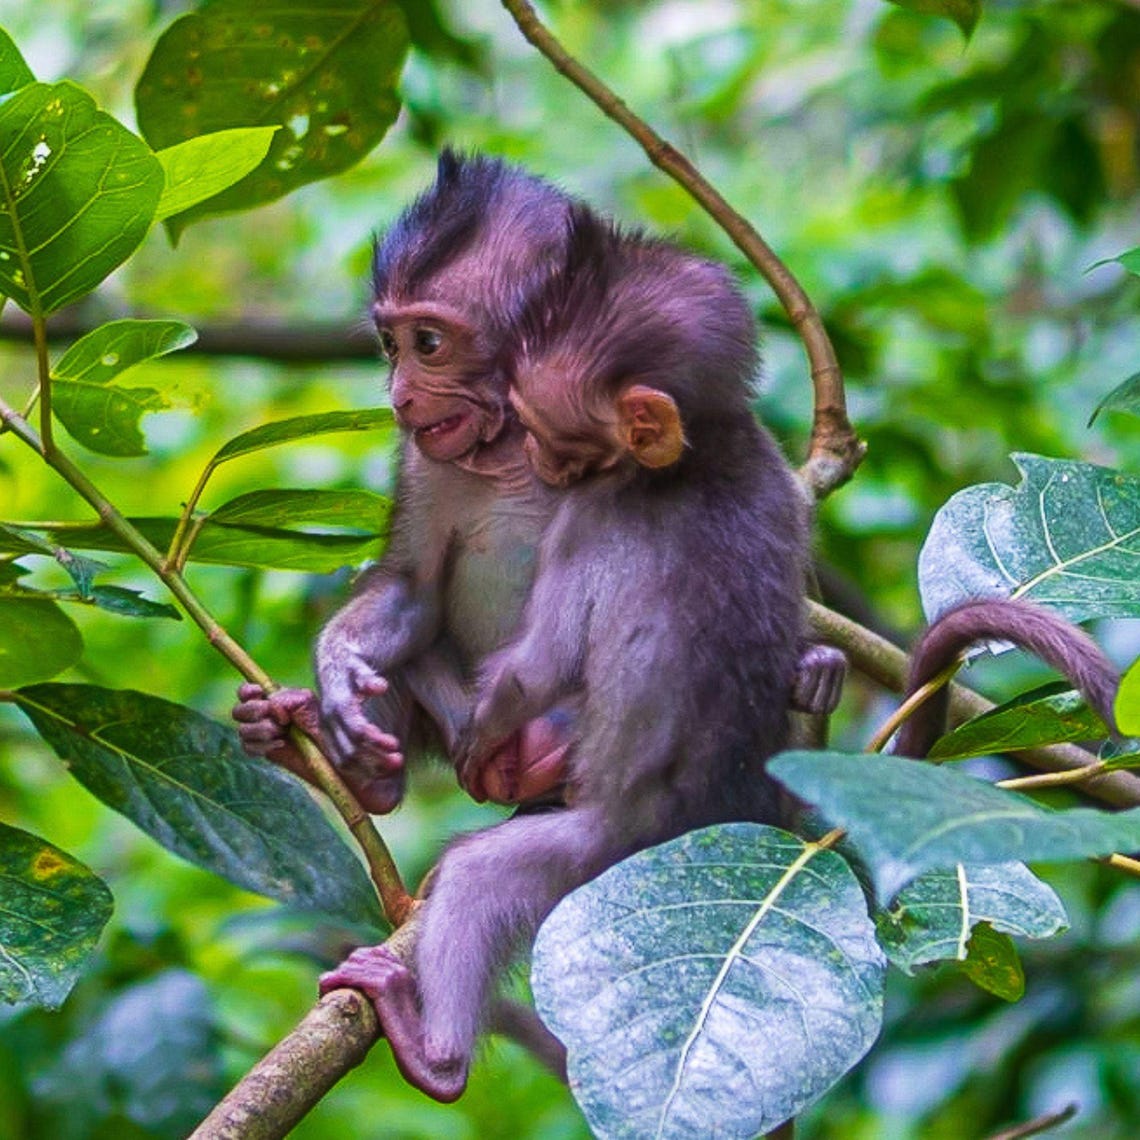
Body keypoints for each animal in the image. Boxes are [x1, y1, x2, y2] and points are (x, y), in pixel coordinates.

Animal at [317, 207, 817, 1101]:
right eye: (390, 342)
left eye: (429, 343)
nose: (401, 395)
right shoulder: (428, 458)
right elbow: (414, 588)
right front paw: (337, 671)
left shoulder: (596, 510)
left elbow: (537, 662)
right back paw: (341, 758)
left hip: (596, 843)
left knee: (480, 877)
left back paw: (434, 1055)